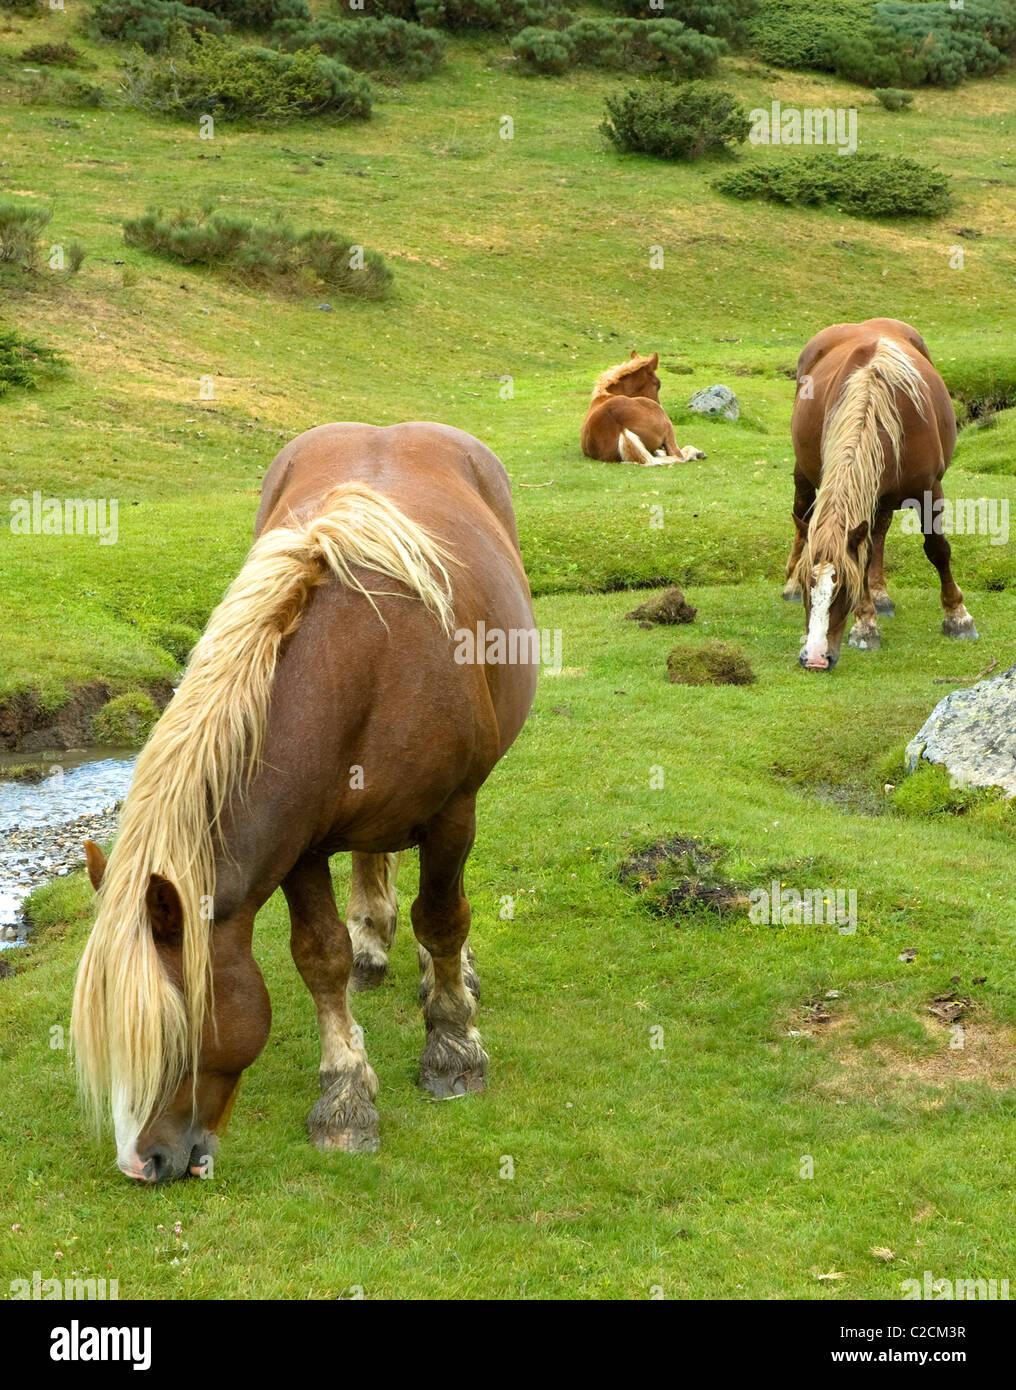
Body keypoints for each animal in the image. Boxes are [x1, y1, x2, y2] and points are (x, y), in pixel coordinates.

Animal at [70, 422, 538, 1182]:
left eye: (179, 1033)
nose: (141, 1165)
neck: (363, 665)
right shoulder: (301, 846)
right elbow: (320, 957)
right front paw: (345, 1098)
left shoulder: (450, 813)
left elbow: (442, 919)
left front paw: (453, 1050)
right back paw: (373, 942)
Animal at [783, 318, 976, 671]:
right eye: (807, 588)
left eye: (843, 589)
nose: (815, 659)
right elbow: (863, 552)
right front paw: (865, 625)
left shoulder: (929, 490)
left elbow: (938, 549)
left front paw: (957, 617)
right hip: (807, 473)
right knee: (803, 514)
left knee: (880, 533)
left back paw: (882, 595)